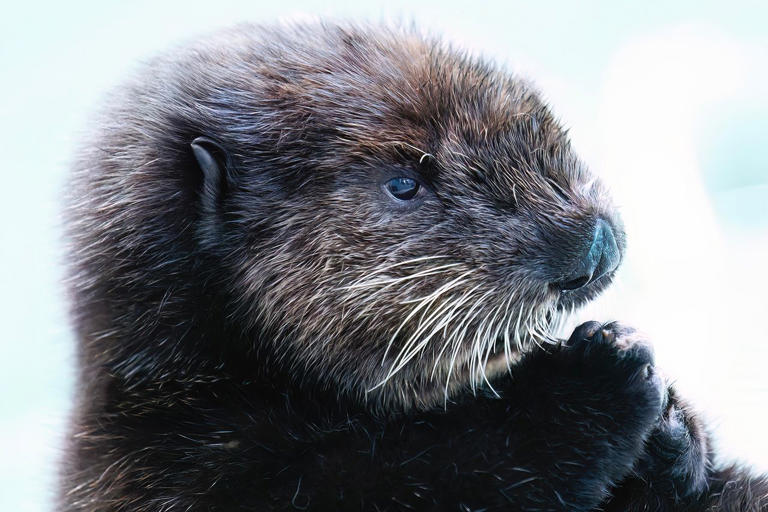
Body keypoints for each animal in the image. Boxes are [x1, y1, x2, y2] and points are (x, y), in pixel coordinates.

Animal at [59, 22, 768, 511]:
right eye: (403, 184)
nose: (595, 246)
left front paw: (670, 421)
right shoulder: (195, 469)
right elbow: (441, 475)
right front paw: (600, 372)